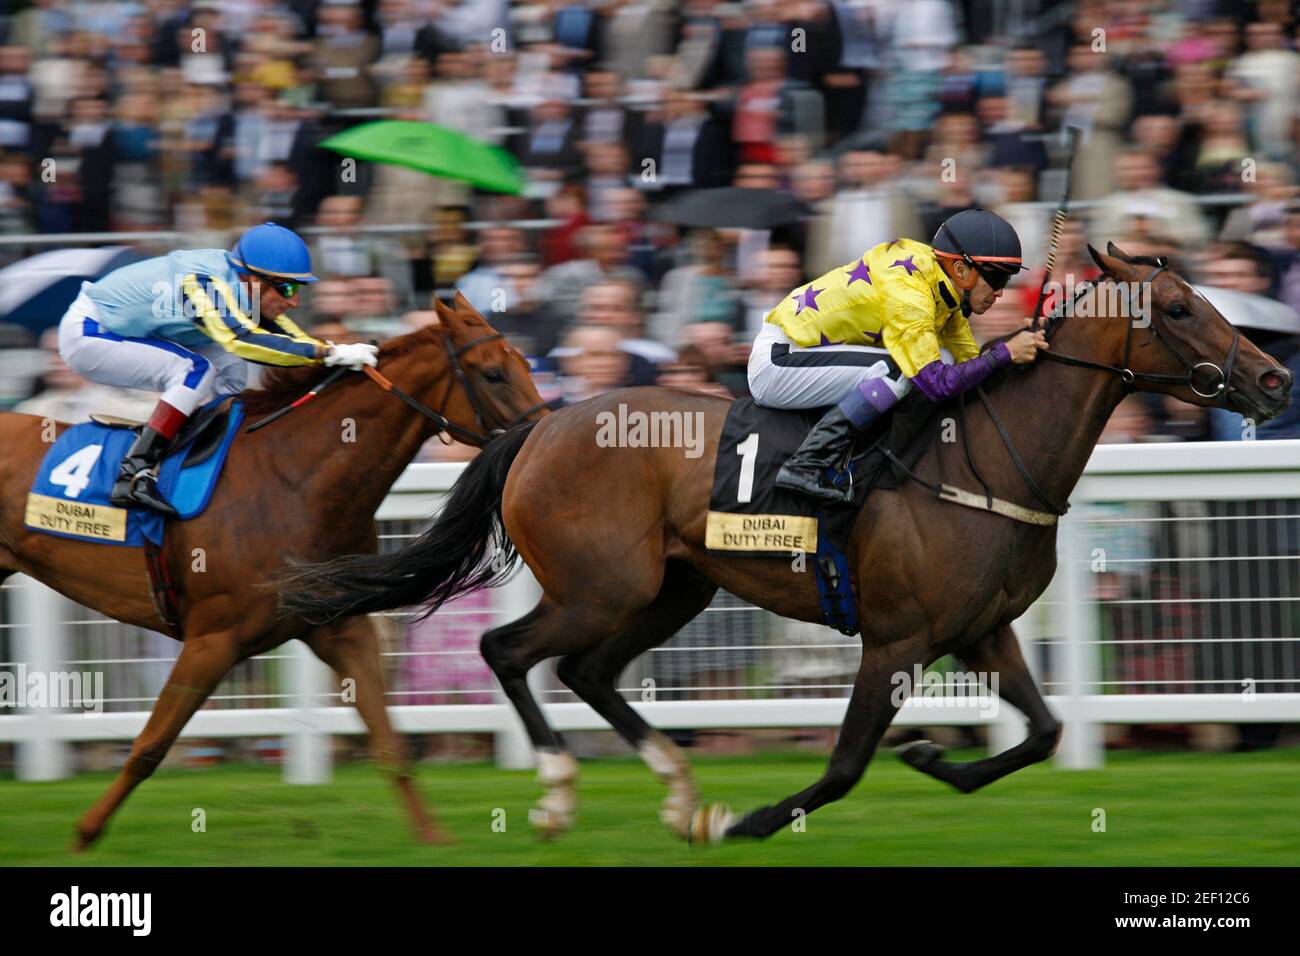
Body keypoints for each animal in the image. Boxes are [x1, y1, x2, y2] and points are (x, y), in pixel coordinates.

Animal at [0, 291, 548, 849]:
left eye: (527, 364)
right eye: (493, 373)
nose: (543, 434)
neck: (289, 479)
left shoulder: (340, 627)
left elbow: (389, 739)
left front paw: (435, 840)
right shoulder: (213, 639)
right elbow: (149, 745)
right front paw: (84, 835)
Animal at [280, 244, 1292, 844]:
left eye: (1206, 296)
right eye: (1177, 310)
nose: (1275, 378)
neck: (986, 457)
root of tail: (542, 424)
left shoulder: (983, 631)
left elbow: (1042, 733)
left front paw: (935, 760)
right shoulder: (896, 639)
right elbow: (844, 765)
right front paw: (755, 820)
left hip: (672, 588)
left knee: (585, 672)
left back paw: (675, 789)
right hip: (600, 587)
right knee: (508, 651)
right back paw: (564, 790)